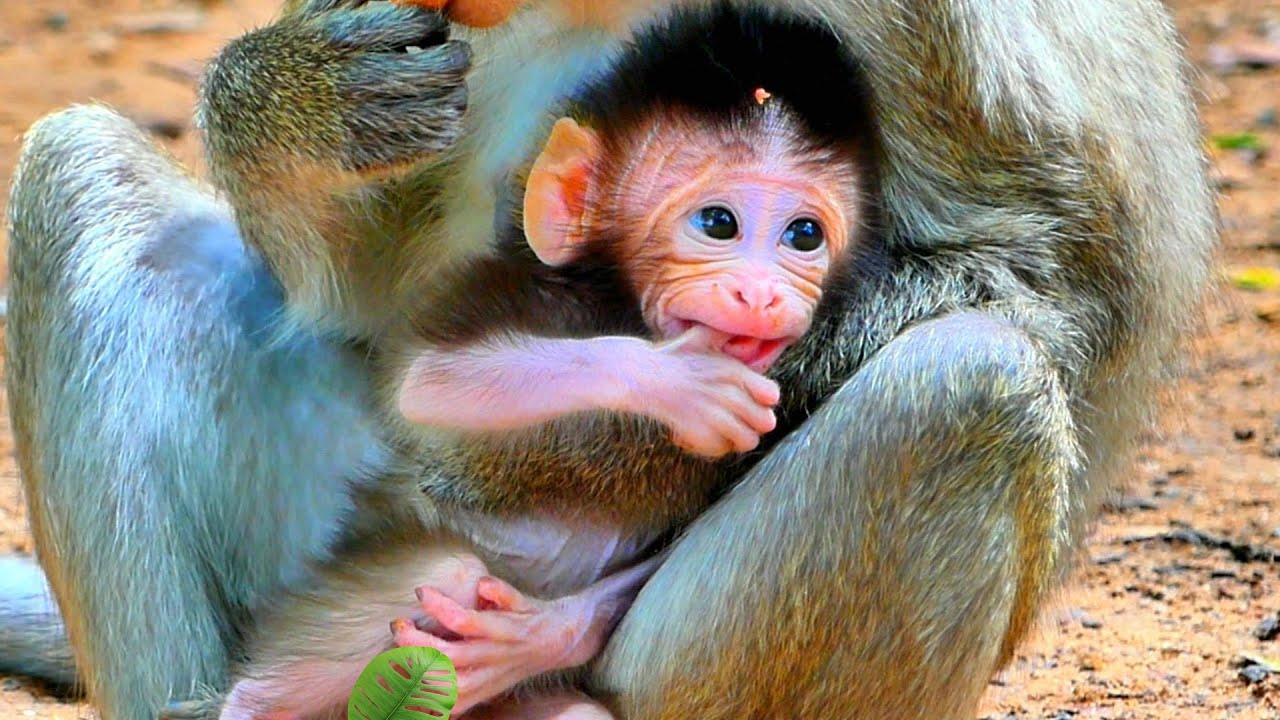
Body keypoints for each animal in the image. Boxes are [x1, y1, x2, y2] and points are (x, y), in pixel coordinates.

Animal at [1, 0, 1216, 718]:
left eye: (794, 233)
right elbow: (373, 289)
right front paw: (291, 98)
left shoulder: (943, 35)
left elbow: (1042, 275)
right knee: (76, 167)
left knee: (969, 382)